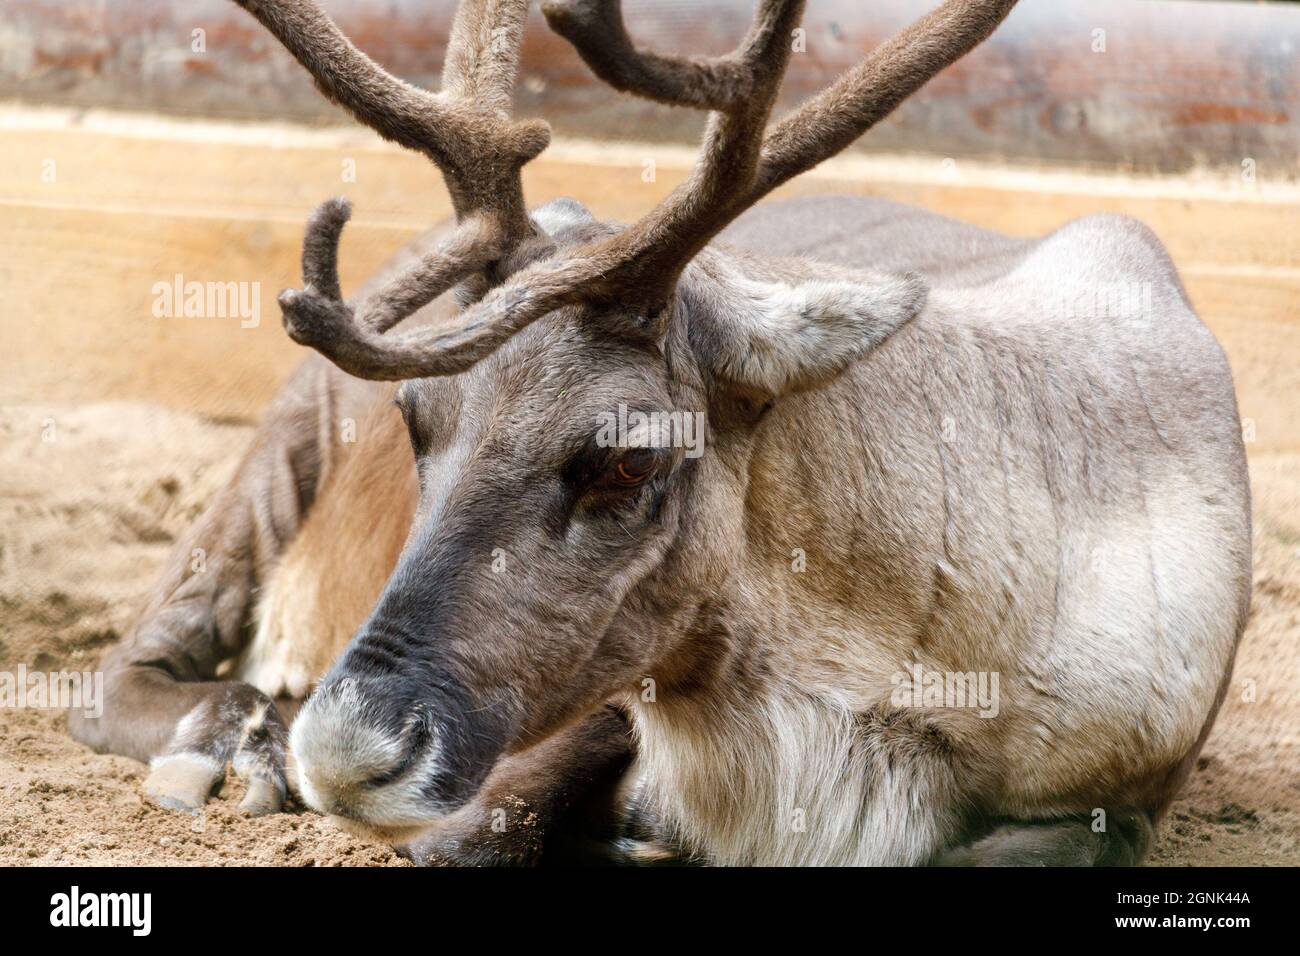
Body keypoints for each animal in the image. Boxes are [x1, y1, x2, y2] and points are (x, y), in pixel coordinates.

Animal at [69, 0, 1251, 866]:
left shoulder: (1114, 799)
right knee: (122, 664)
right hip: (276, 454)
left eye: (630, 454)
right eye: (416, 416)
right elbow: (474, 838)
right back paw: (237, 745)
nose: (345, 749)